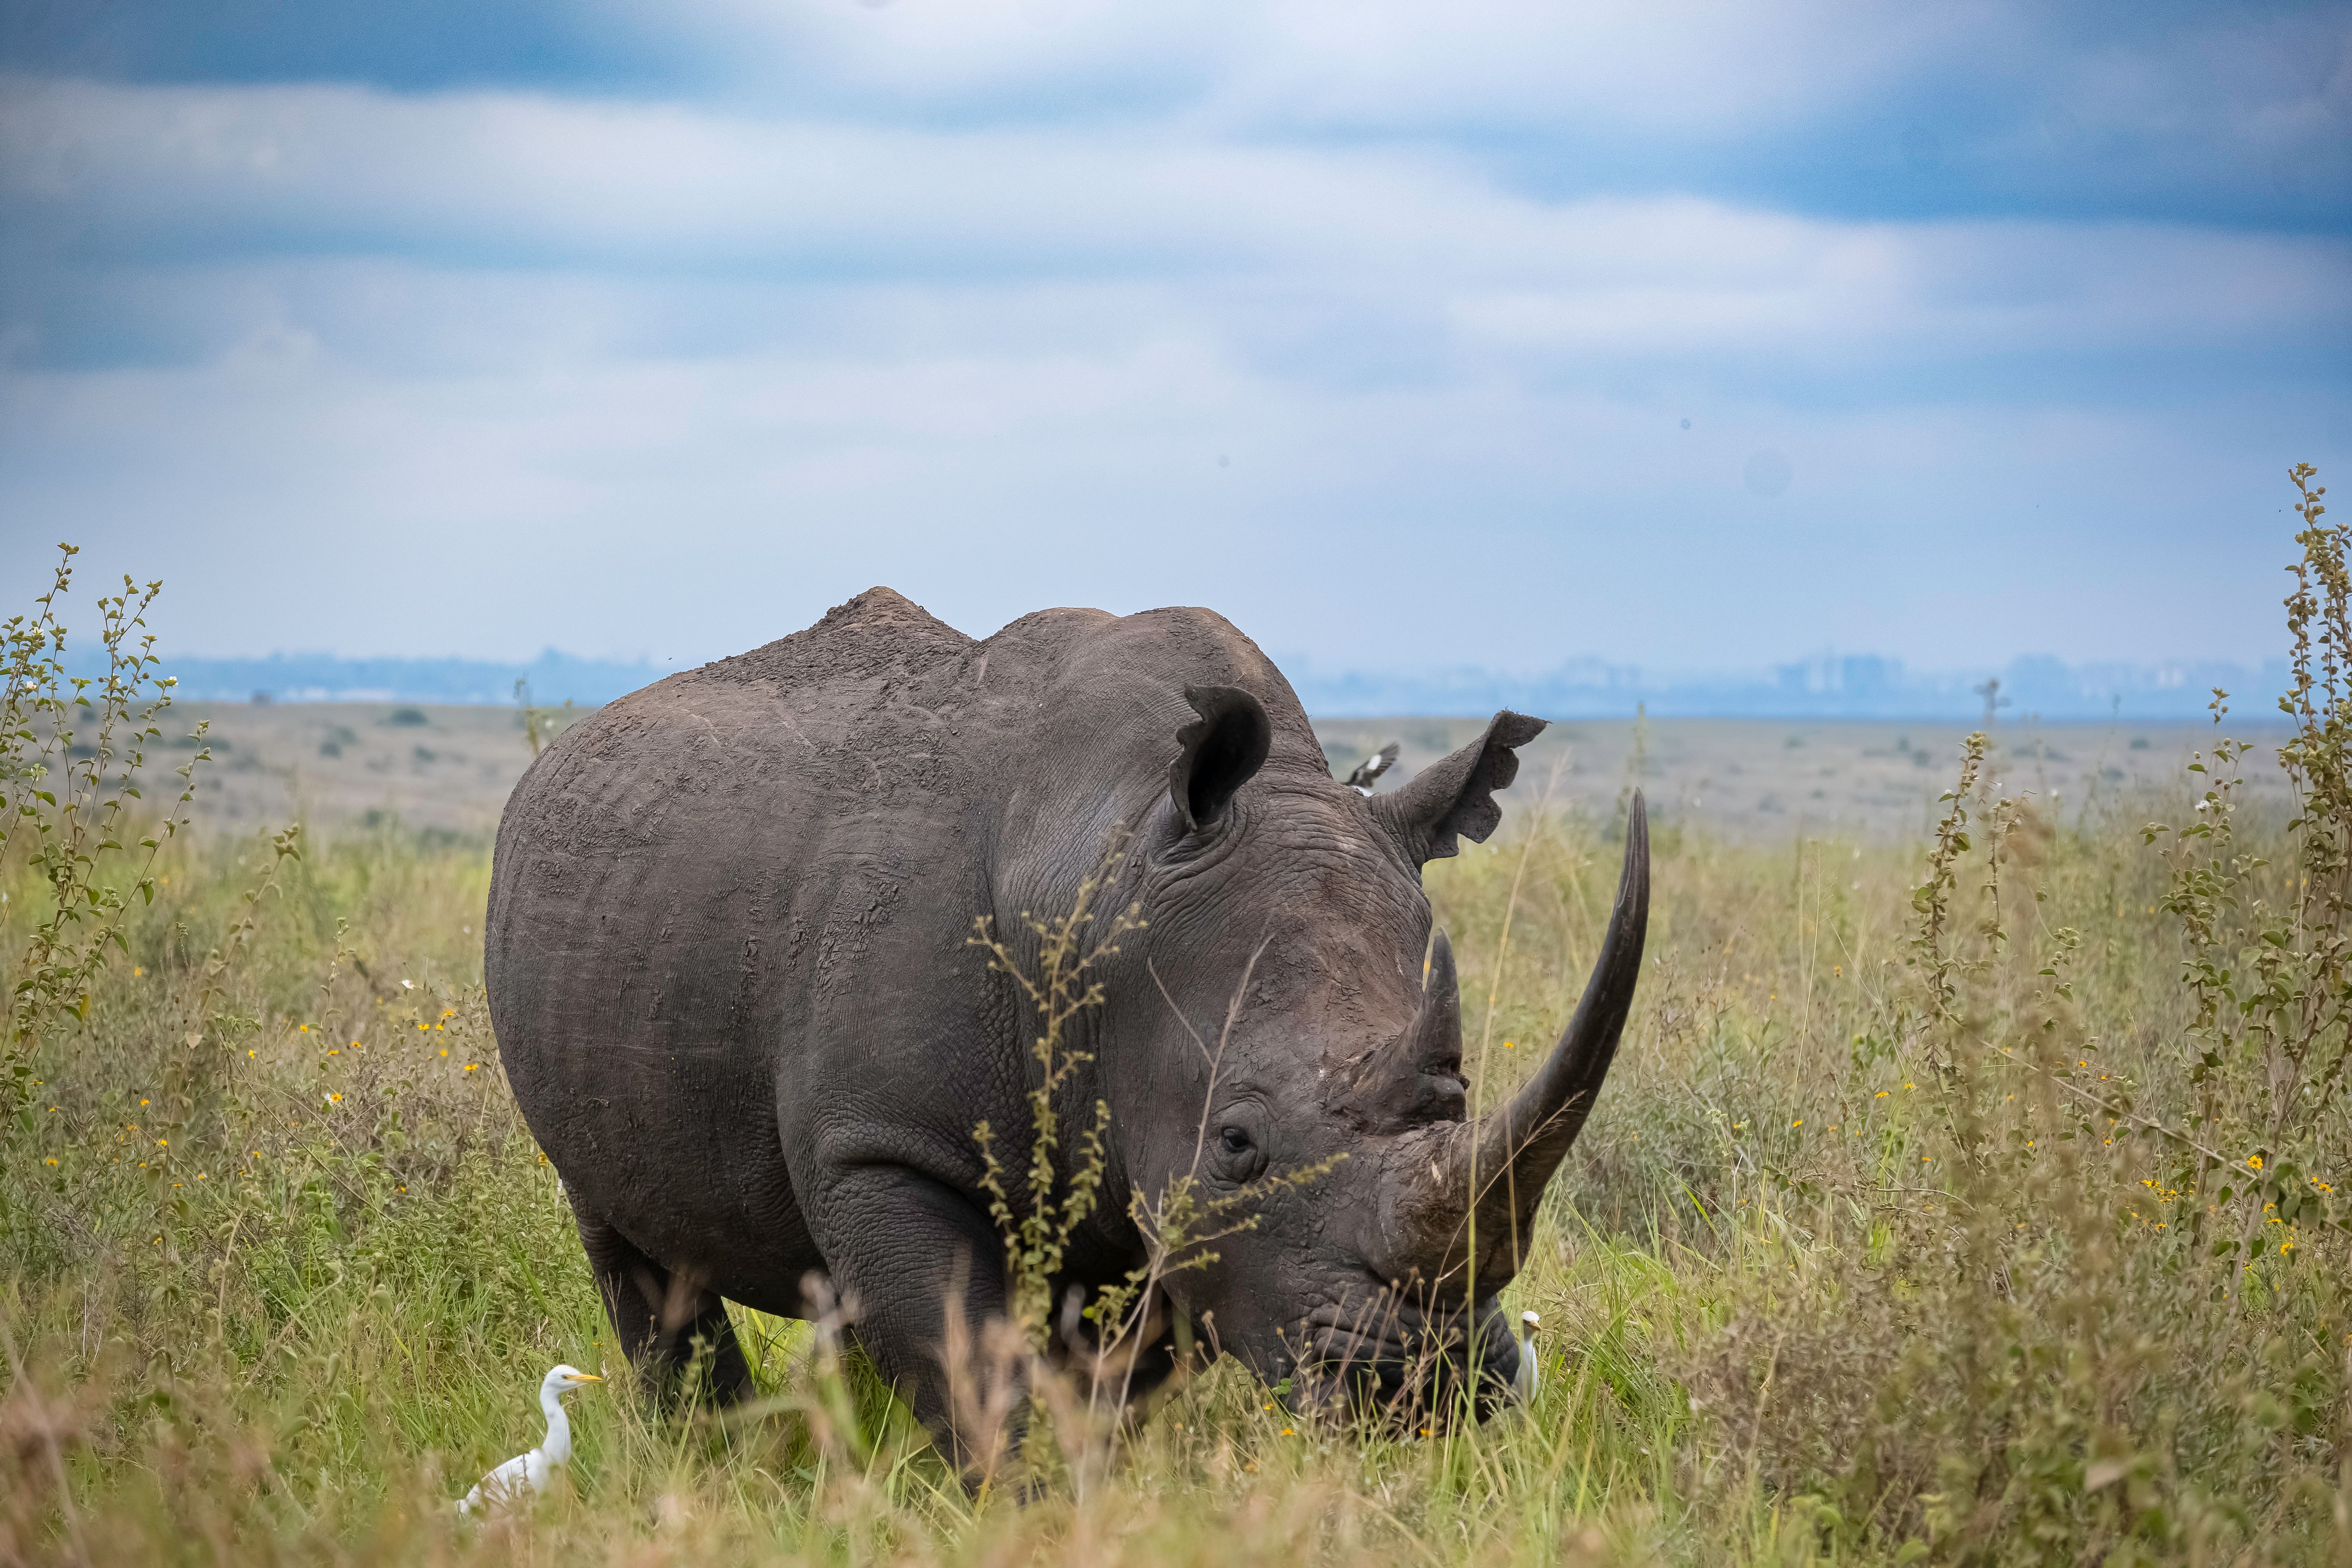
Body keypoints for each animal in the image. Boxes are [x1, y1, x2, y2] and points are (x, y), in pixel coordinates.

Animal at [485, 588, 1647, 1454]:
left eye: (1460, 1095)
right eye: (1237, 1142)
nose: (1430, 1390)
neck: (1110, 861)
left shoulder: (1141, 1166)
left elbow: (1113, 1371)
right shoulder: (884, 1146)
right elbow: (966, 1365)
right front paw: (1025, 1501)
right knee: (625, 1234)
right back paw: (716, 1455)